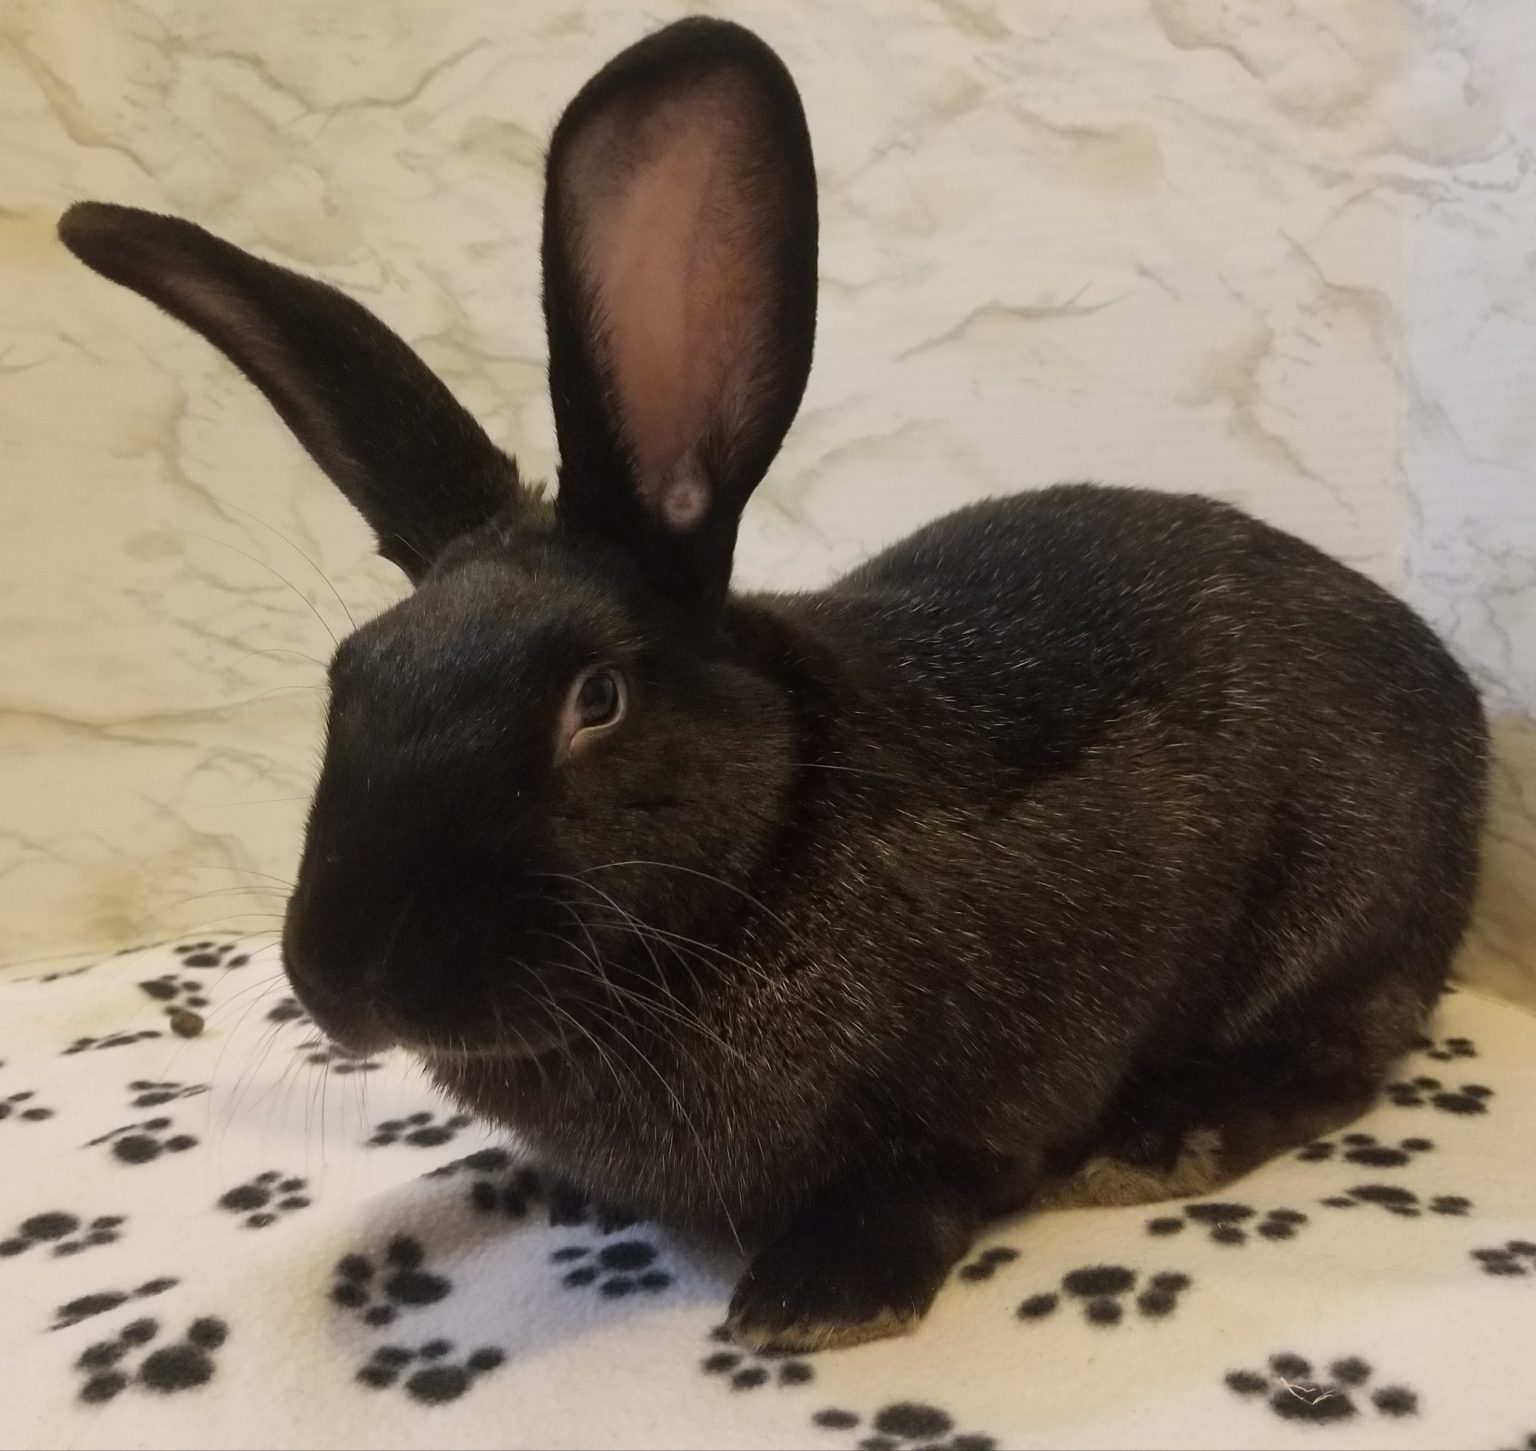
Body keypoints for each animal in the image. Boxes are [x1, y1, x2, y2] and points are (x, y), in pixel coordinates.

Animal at [59, 16, 1488, 1353]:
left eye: (595, 700)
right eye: (349, 676)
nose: (344, 979)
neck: (768, 841)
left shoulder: (1007, 1073)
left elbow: (939, 1173)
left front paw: (813, 1300)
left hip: (1342, 903)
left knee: (1341, 1049)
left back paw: (1158, 1143)